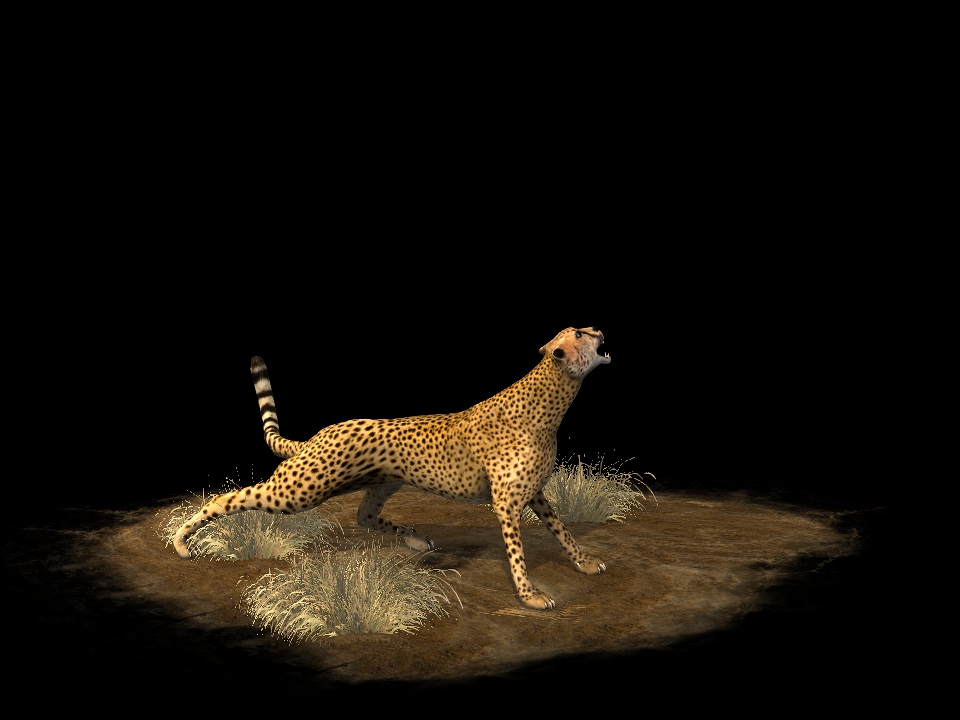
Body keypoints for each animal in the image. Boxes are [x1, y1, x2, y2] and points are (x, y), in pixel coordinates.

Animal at [173, 326, 612, 609]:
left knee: (364, 516)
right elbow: (517, 553)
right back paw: (180, 541)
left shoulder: (534, 493)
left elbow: (562, 530)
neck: (549, 402)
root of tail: (318, 436)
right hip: (297, 491)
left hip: (380, 483)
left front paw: (585, 562)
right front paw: (530, 595)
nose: (599, 330)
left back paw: (416, 539)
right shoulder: (506, 504)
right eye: (579, 334)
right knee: (226, 498)